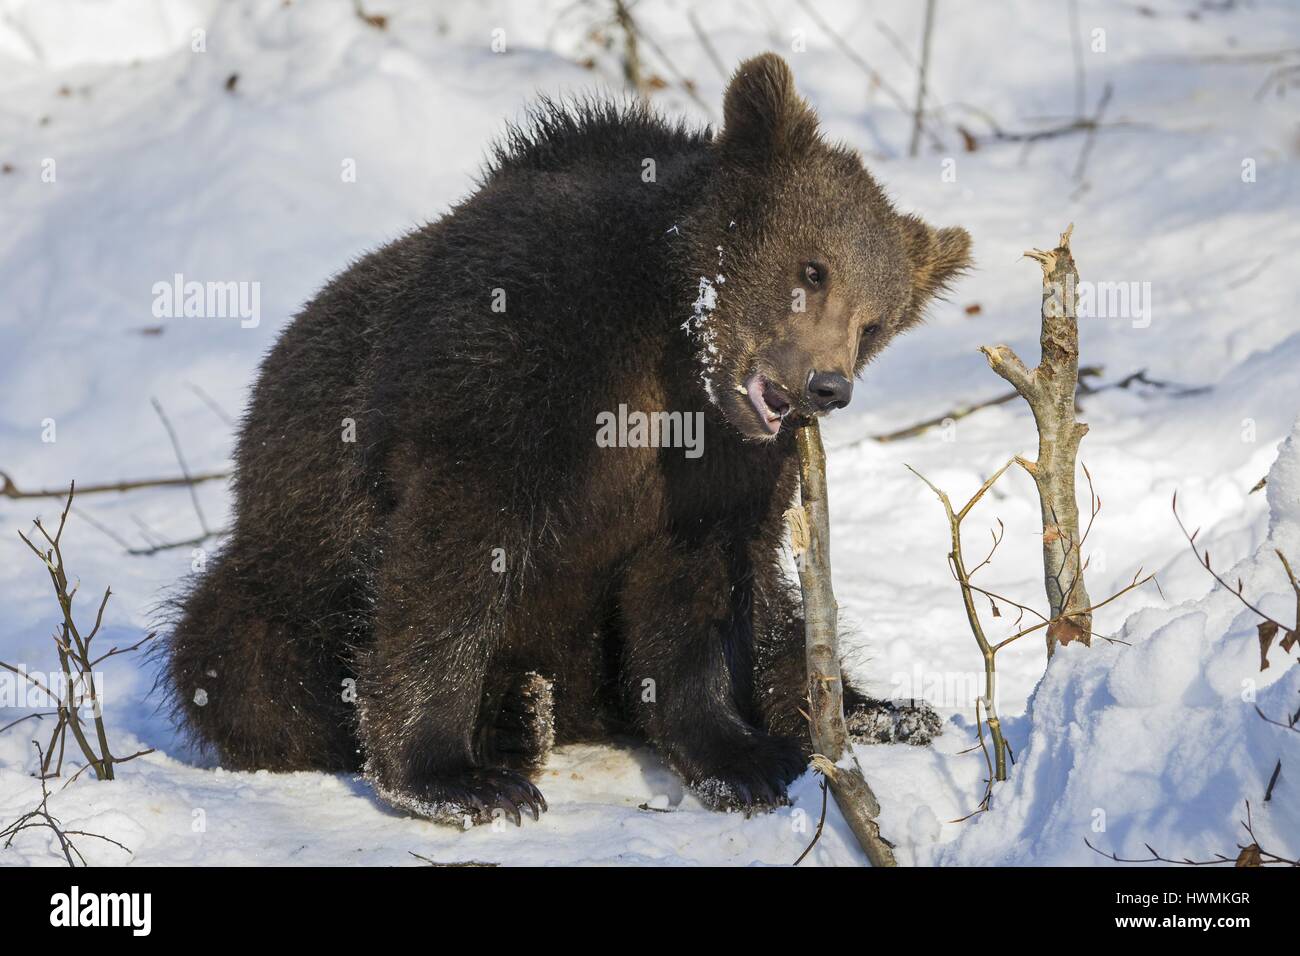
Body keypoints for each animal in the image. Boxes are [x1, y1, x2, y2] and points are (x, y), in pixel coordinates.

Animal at [164, 52, 969, 826]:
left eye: (876, 322)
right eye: (813, 268)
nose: (826, 386)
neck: (670, 347)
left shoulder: (718, 469)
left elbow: (698, 590)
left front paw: (743, 757)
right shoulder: (519, 351)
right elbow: (452, 553)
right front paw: (456, 778)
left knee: (783, 619)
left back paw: (879, 711)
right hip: (290, 562)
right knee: (241, 659)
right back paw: (515, 717)